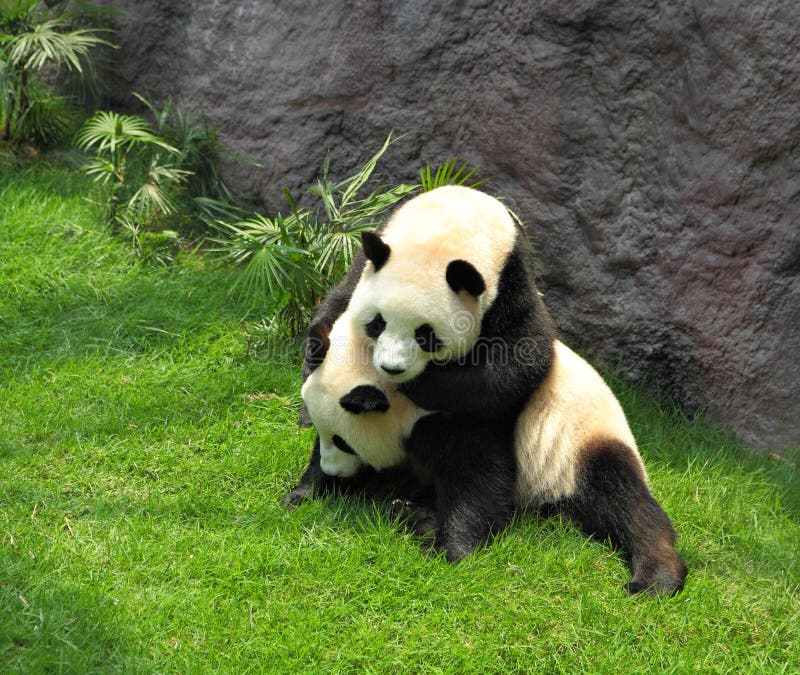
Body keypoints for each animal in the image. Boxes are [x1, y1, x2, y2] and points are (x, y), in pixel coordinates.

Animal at [284, 186, 687, 594]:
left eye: (426, 335)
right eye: (377, 323)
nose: (392, 368)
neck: (455, 221)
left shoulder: (509, 299)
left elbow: (484, 456)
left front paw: (451, 549)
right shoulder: (366, 266)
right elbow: (339, 302)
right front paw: (304, 492)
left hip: (580, 444)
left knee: (622, 499)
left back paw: (655, 576)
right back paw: (410, 511)